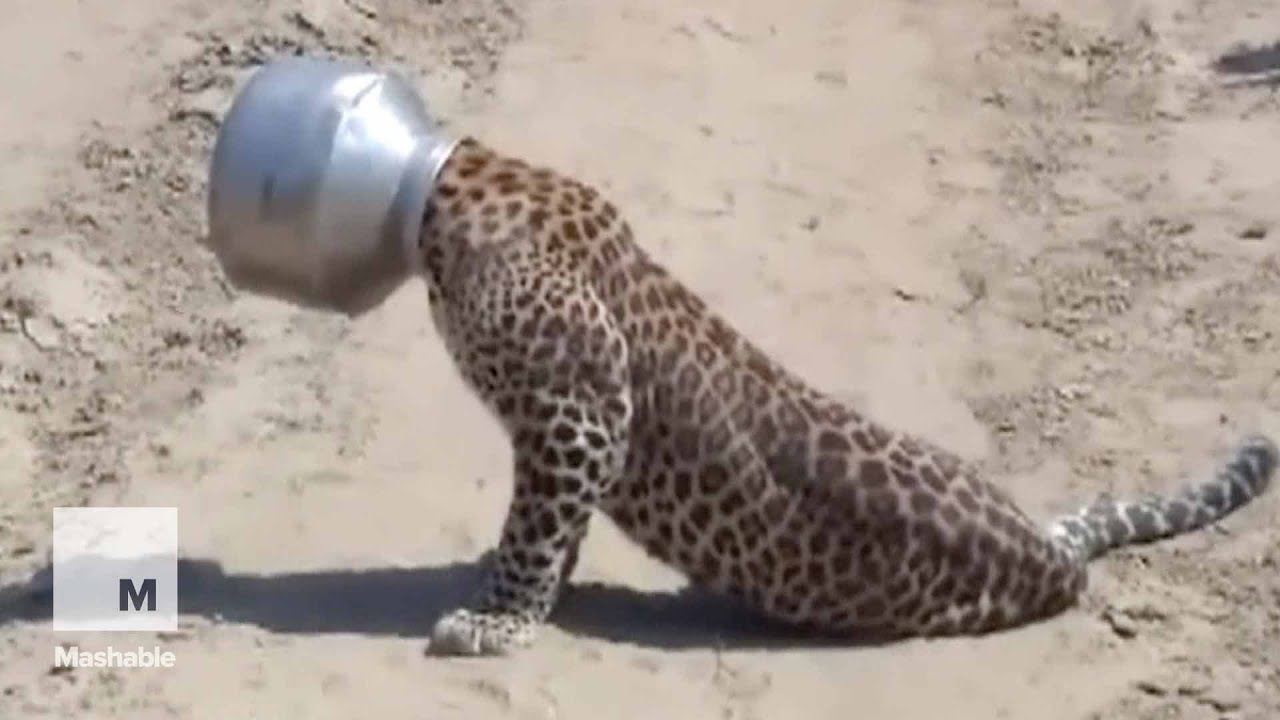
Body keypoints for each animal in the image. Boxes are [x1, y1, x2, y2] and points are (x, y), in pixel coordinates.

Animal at [415, 137, 1278, 656]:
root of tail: (1045, 550)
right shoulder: (577, 421)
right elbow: (558, 524)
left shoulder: (580, 414)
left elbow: (538, 528)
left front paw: (498, 617)